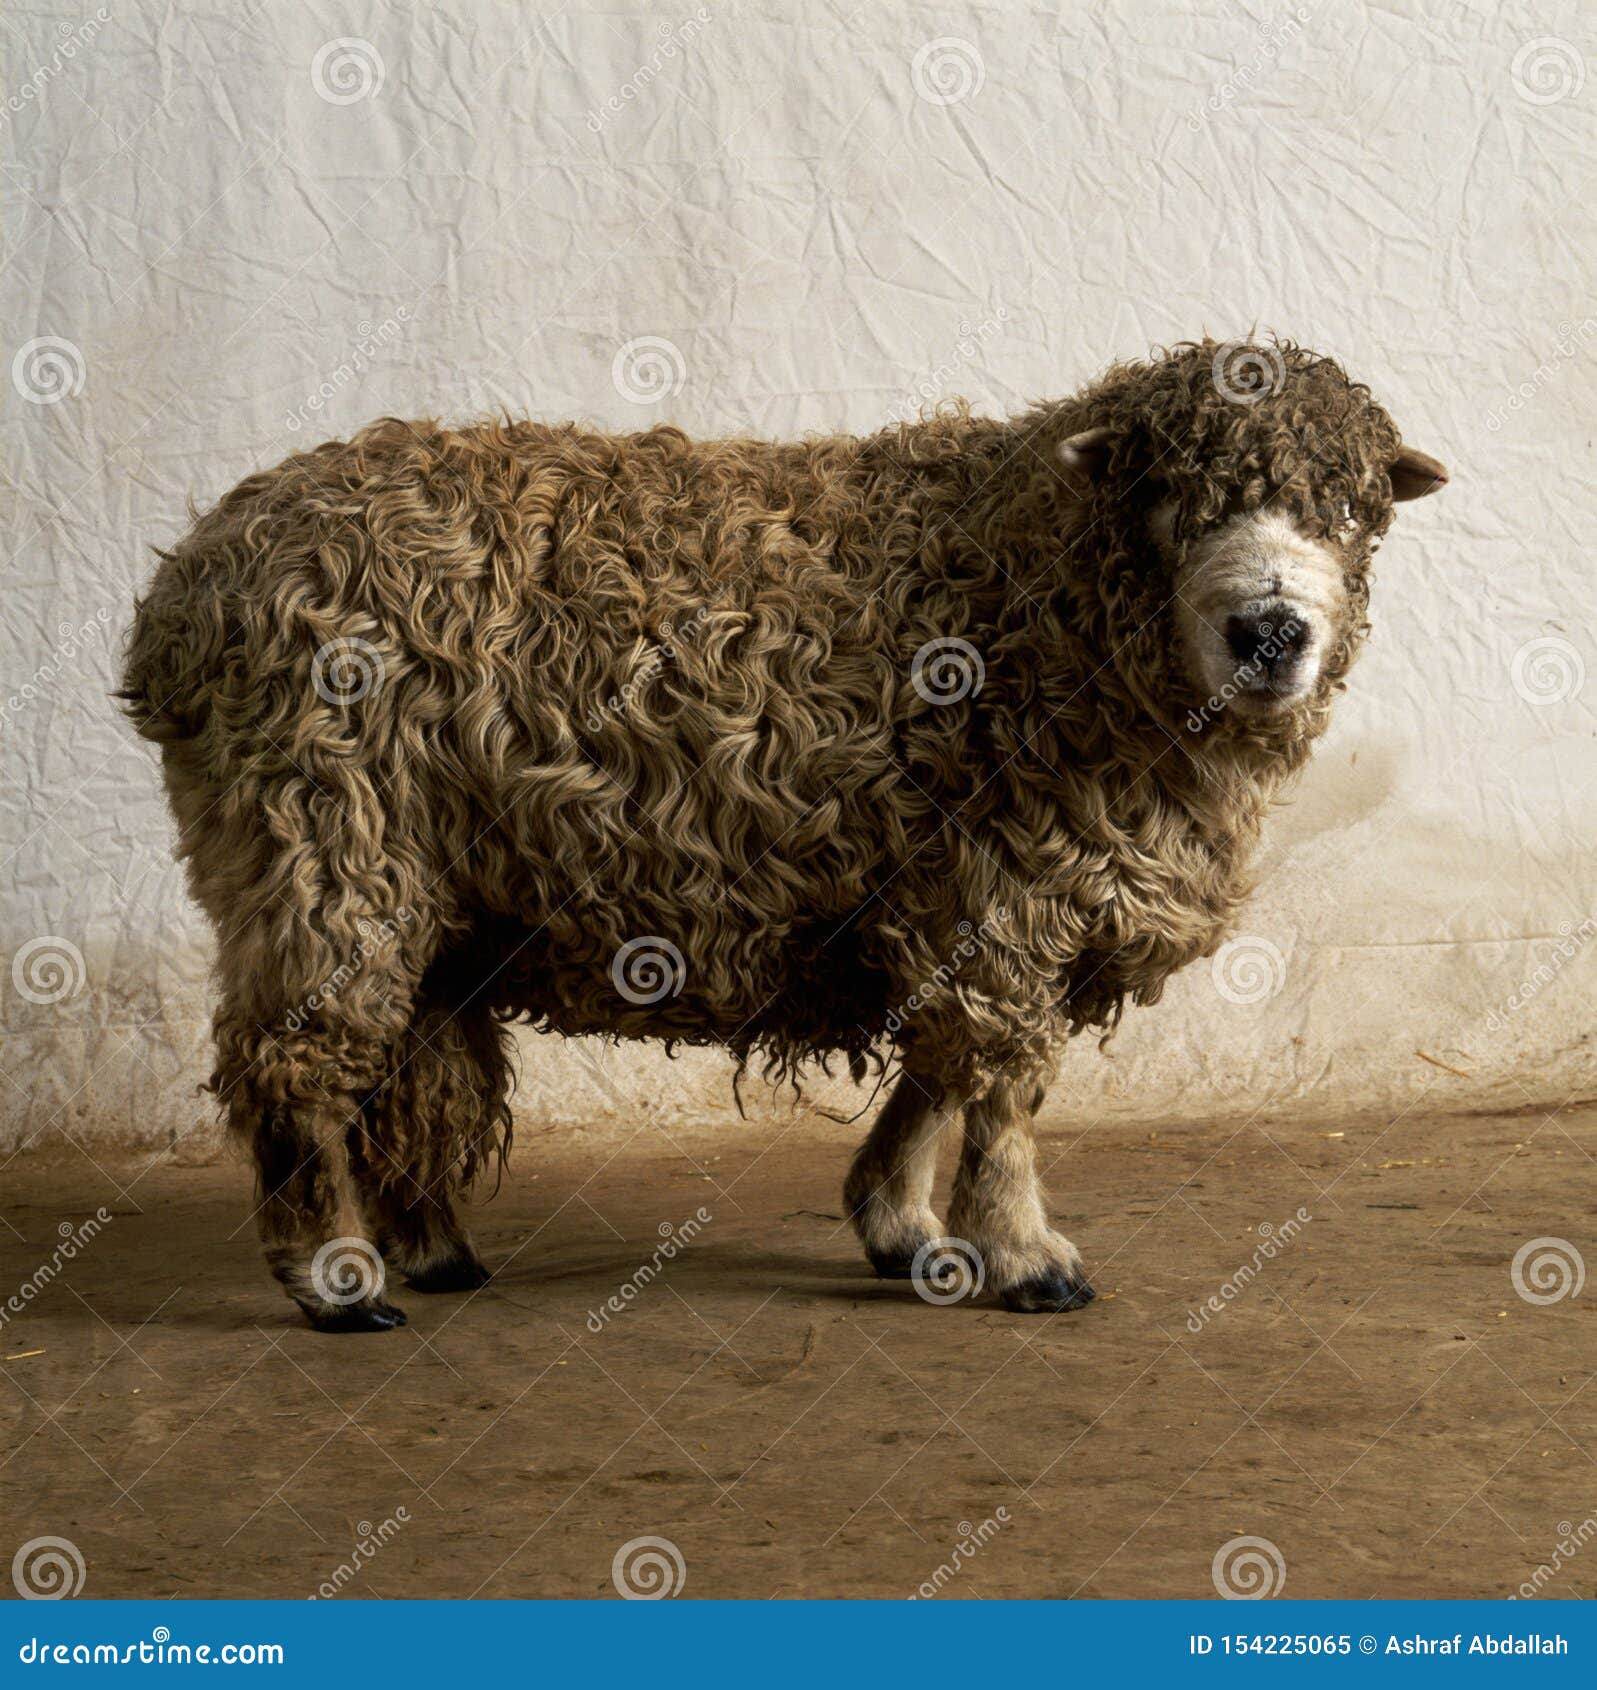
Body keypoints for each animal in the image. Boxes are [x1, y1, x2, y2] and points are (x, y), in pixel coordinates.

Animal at [119, 337, 1447, 1331]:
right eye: (1170, 501)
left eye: (1347, 508)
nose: (1268, 633)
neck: (1046, 590)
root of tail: (190, 584)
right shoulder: (1010, 889)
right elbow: (1001, 1091)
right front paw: (1024, 1255)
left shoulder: (945, 889)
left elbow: (935, 1074)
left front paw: (900, 1223)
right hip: (318, 836)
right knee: (296, 1062)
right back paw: (333, 1280)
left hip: (426, 879)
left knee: (409, 1060)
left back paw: (433, 1246)